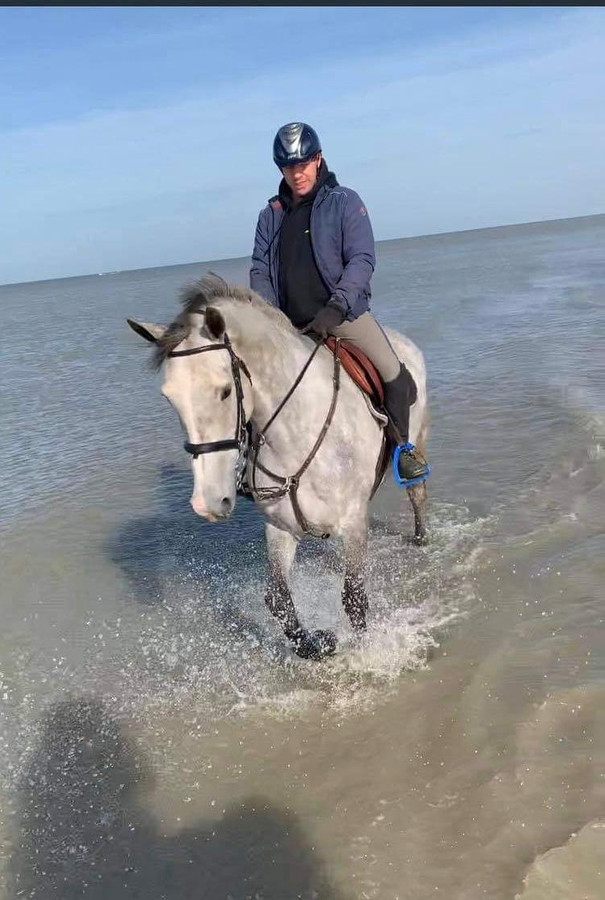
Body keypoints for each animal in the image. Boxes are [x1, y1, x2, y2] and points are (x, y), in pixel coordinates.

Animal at [127, 274, 429, 660]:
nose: (207, 503)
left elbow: (354, 600)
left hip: (416, 439)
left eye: (225, 391)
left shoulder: (353, 522)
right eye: (169, 397)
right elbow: (280, 601)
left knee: (417, 492)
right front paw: (321, 643)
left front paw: (366, 655)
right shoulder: (280, 527)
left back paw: (421, 538)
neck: (296, 430)